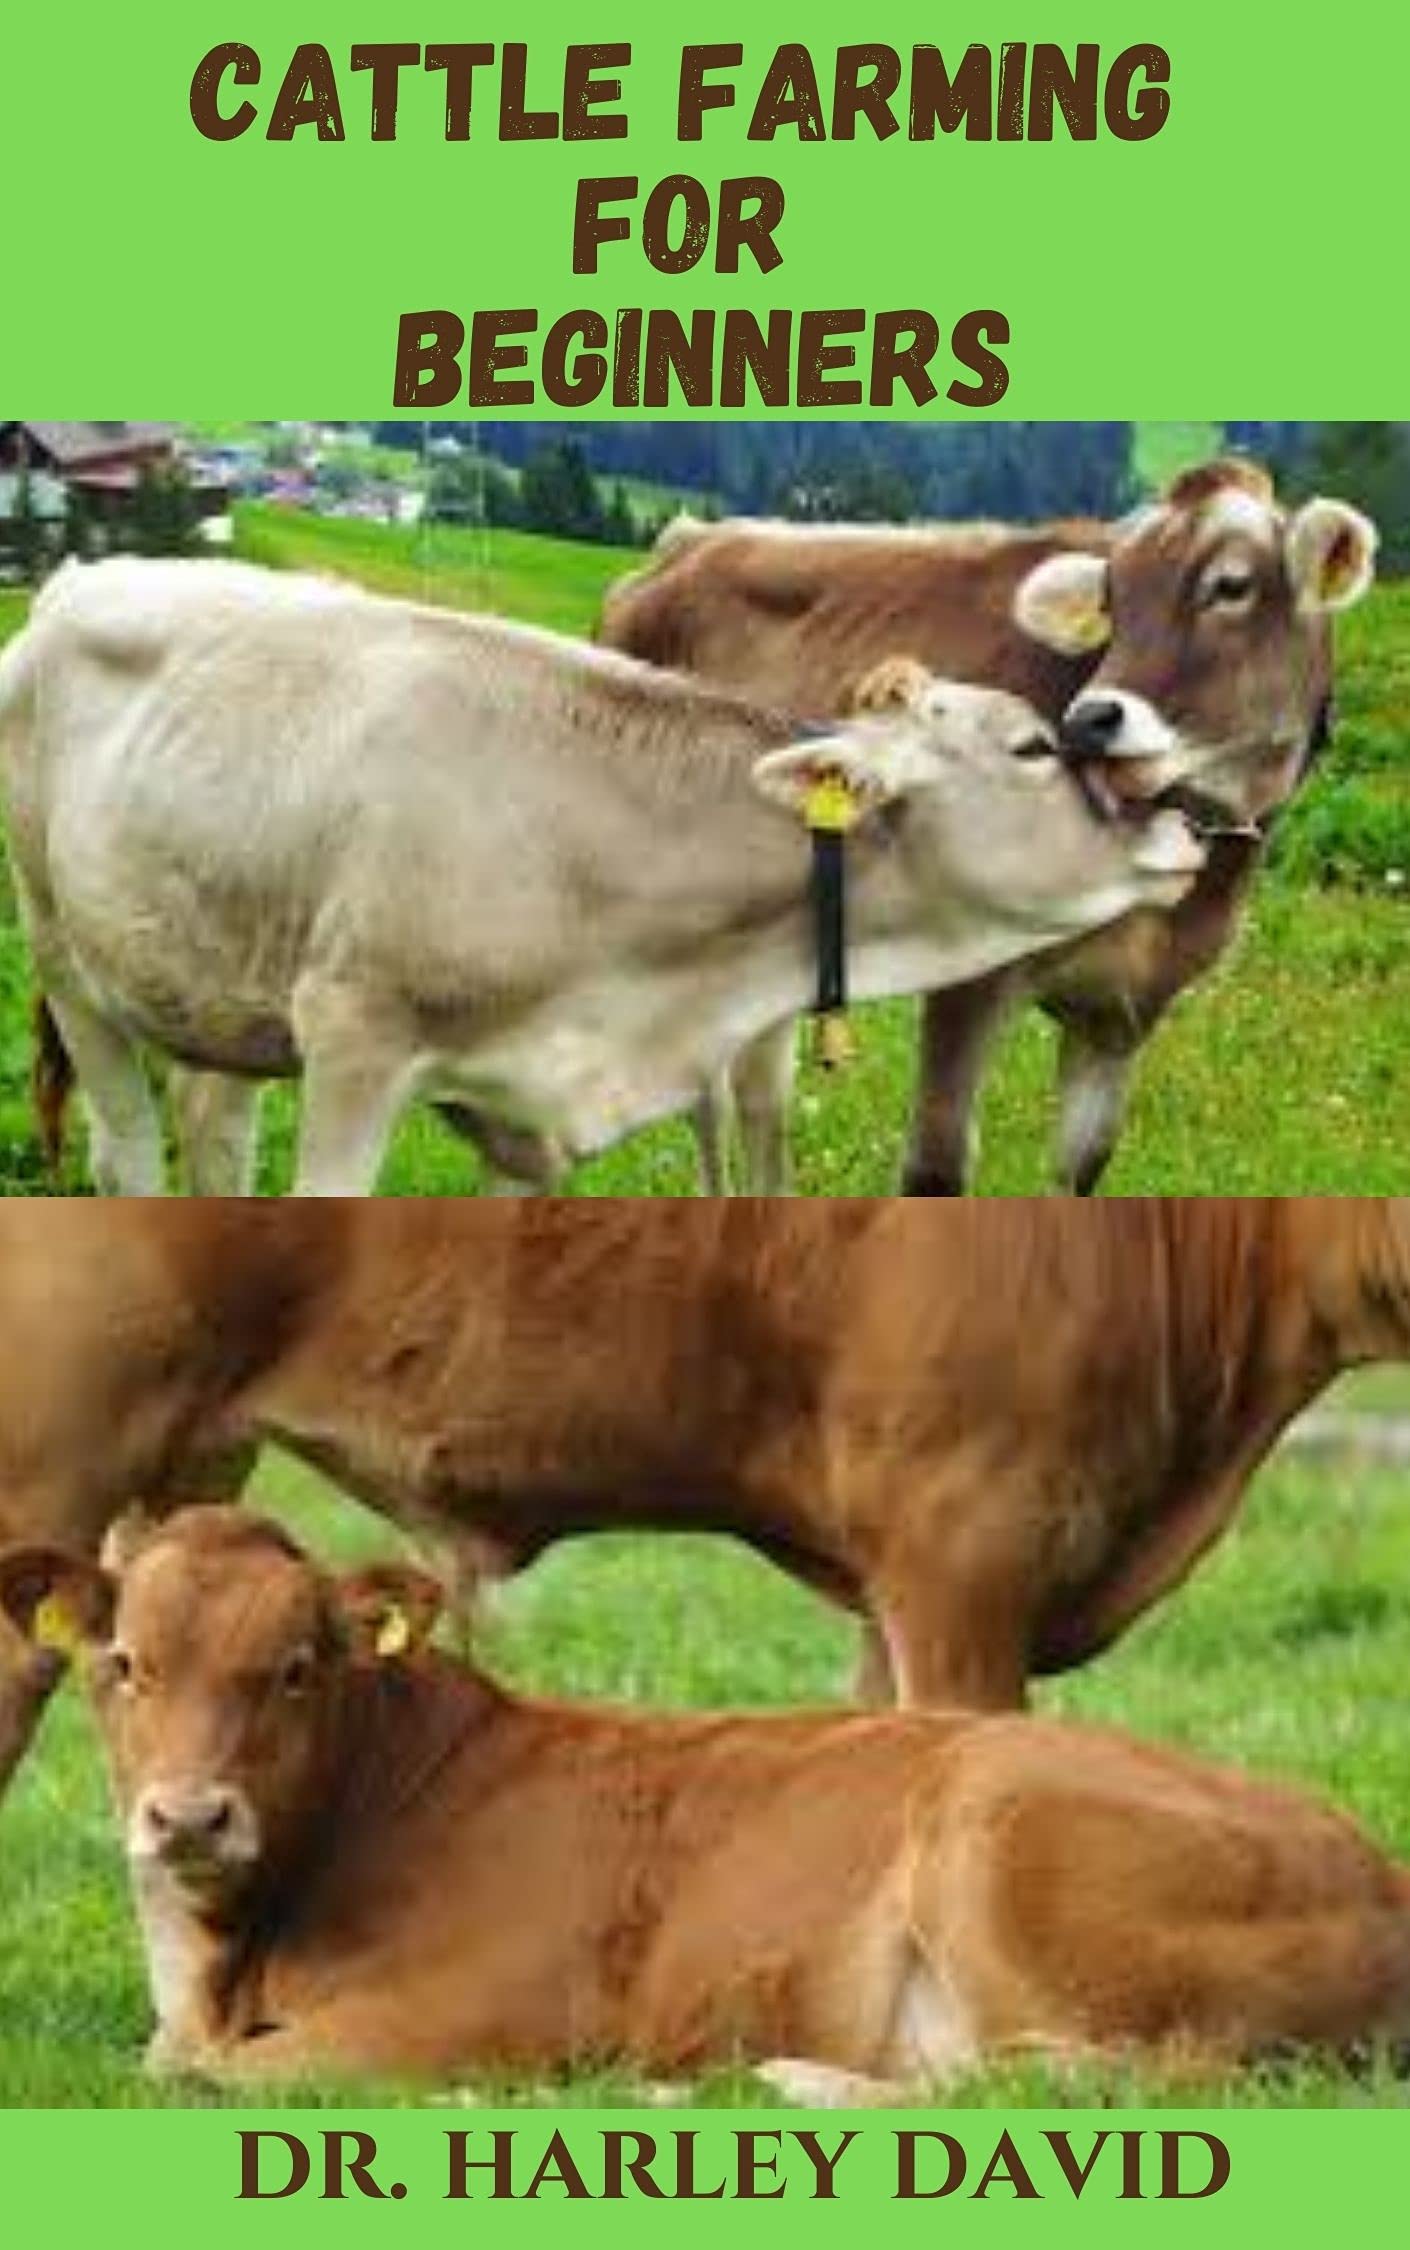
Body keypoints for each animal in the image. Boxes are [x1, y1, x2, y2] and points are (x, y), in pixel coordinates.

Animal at [0, 556, 1205, 1199]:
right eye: (1033, 748)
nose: (1183, 826)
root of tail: (85, 573)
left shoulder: (520, 1119)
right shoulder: (354, 1040)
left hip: (223, 990)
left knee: (215, 1125)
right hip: (63, 954)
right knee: (127, 1155)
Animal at [5, 1504, 1410, 2095]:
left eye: (295, 1667)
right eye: (123, 1664)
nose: (189, 1818)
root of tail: (1373, 1864)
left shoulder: (473, 2015)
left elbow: (213, 2084)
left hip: (992, 1828)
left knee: (1089, 2083)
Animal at [600, 460, 1379, 1194]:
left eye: (1231, 586)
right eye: (1113, 599)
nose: (1088, 722)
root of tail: (690, 539)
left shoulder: (1123, 1015)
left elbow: (1080, 1169)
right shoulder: (970, 981)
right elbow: (935, 1168)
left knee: (754, 1092)